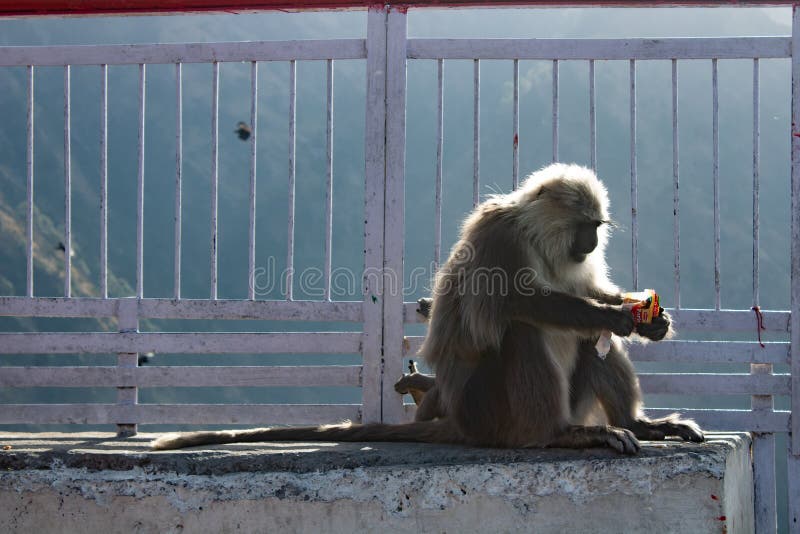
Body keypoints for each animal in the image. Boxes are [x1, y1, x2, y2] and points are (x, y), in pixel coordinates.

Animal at [151, 163, 703, 453]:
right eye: (585, 226)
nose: (590, 242)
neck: (537, 238)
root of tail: (459, 417)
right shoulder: (499, 238)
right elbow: (518, 303)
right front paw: (615, 318)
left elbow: (590, 293)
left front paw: (647, 321)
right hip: (489, 413)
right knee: (523, 328)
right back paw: (558, 436)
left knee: (585, 342)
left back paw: (635, 425)